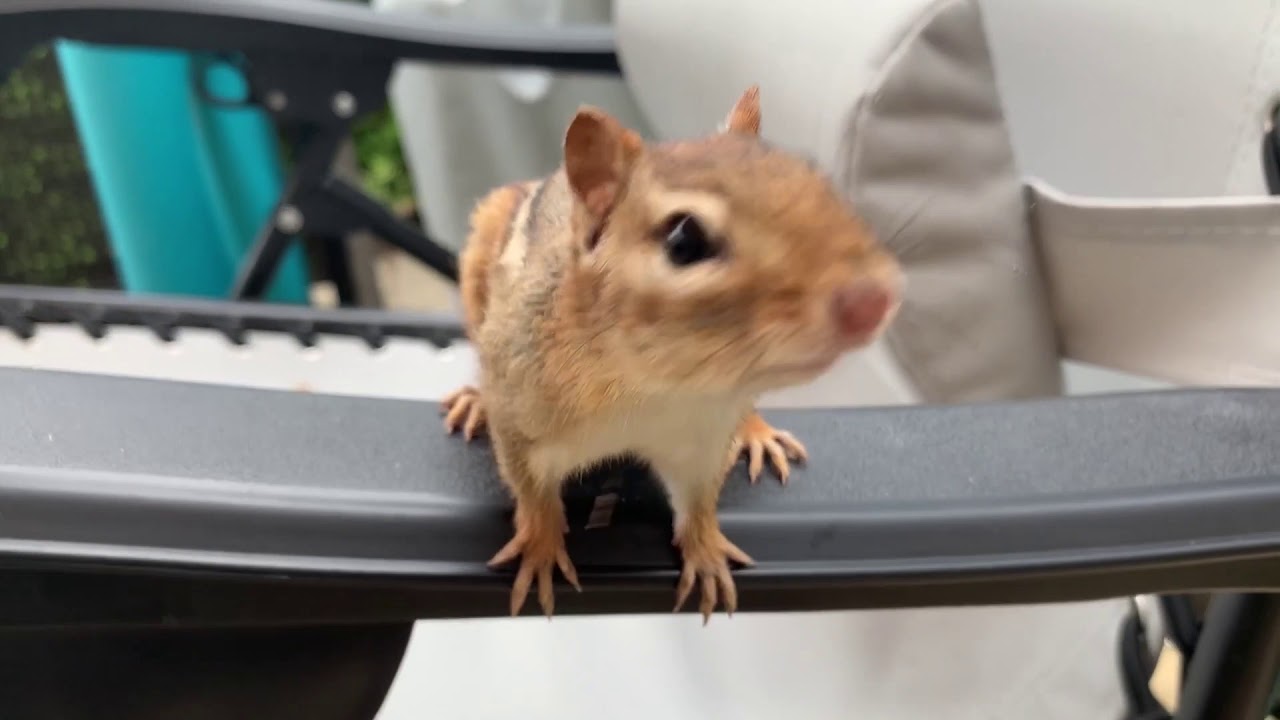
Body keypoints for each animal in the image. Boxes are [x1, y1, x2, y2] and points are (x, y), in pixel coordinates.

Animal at [440, 86, 903, 623]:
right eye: (685, 238)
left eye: (815, 177)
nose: (874, 301)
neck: (658, 388)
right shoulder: (520, 413)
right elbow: (533, 492)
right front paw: (539, 551)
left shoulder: (702, 443)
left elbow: (699, 502)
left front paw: (705, 553)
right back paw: (473, 399)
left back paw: (757, 431)